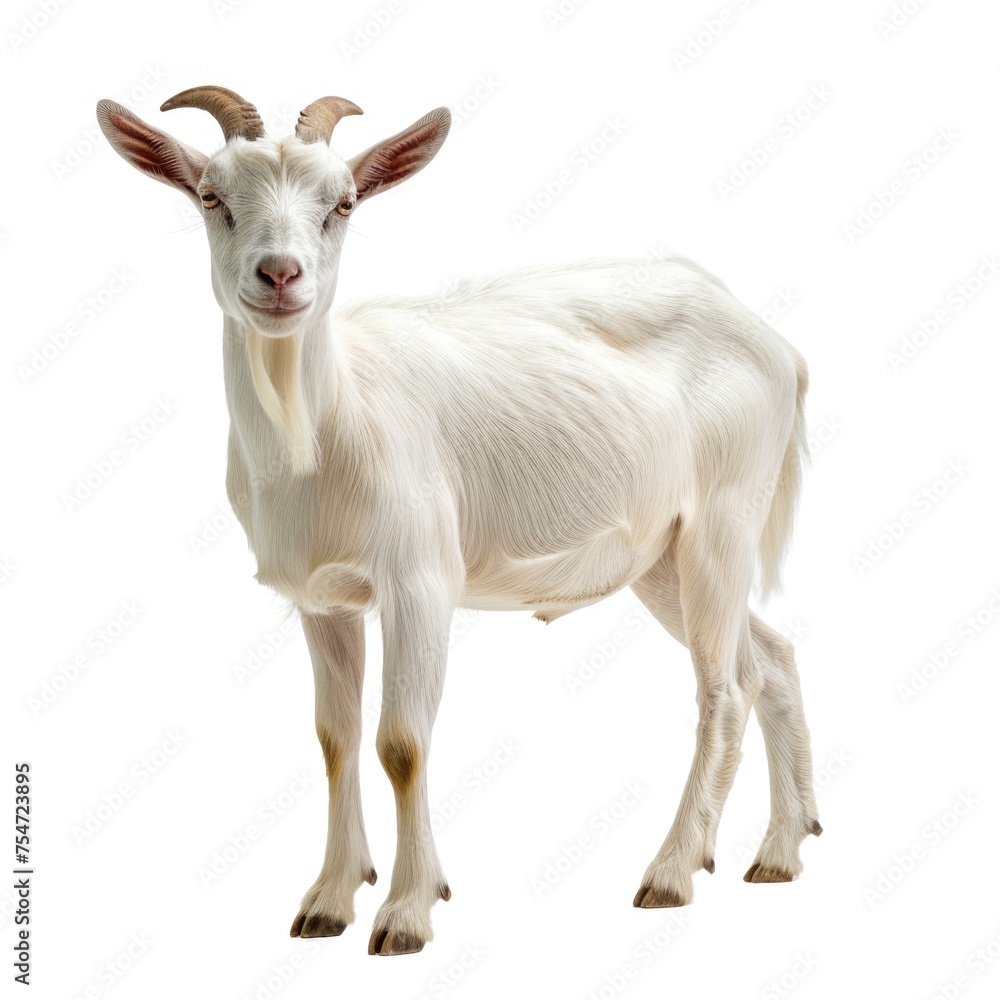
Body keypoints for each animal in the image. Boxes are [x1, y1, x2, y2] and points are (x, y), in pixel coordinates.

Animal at [96, 85, 821, 956]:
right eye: (211, 197)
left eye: (343, 203)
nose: (280, 275)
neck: (326, 426)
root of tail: (776, 344)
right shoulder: (322, 601)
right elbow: (336, 741)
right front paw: (328, 901)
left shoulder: (419, 581)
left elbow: (401, 743)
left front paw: (408, 911)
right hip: (660, 558)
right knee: (772, 658)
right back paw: (780, 852)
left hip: (722, 518)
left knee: (725, 686)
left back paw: (674, 871)